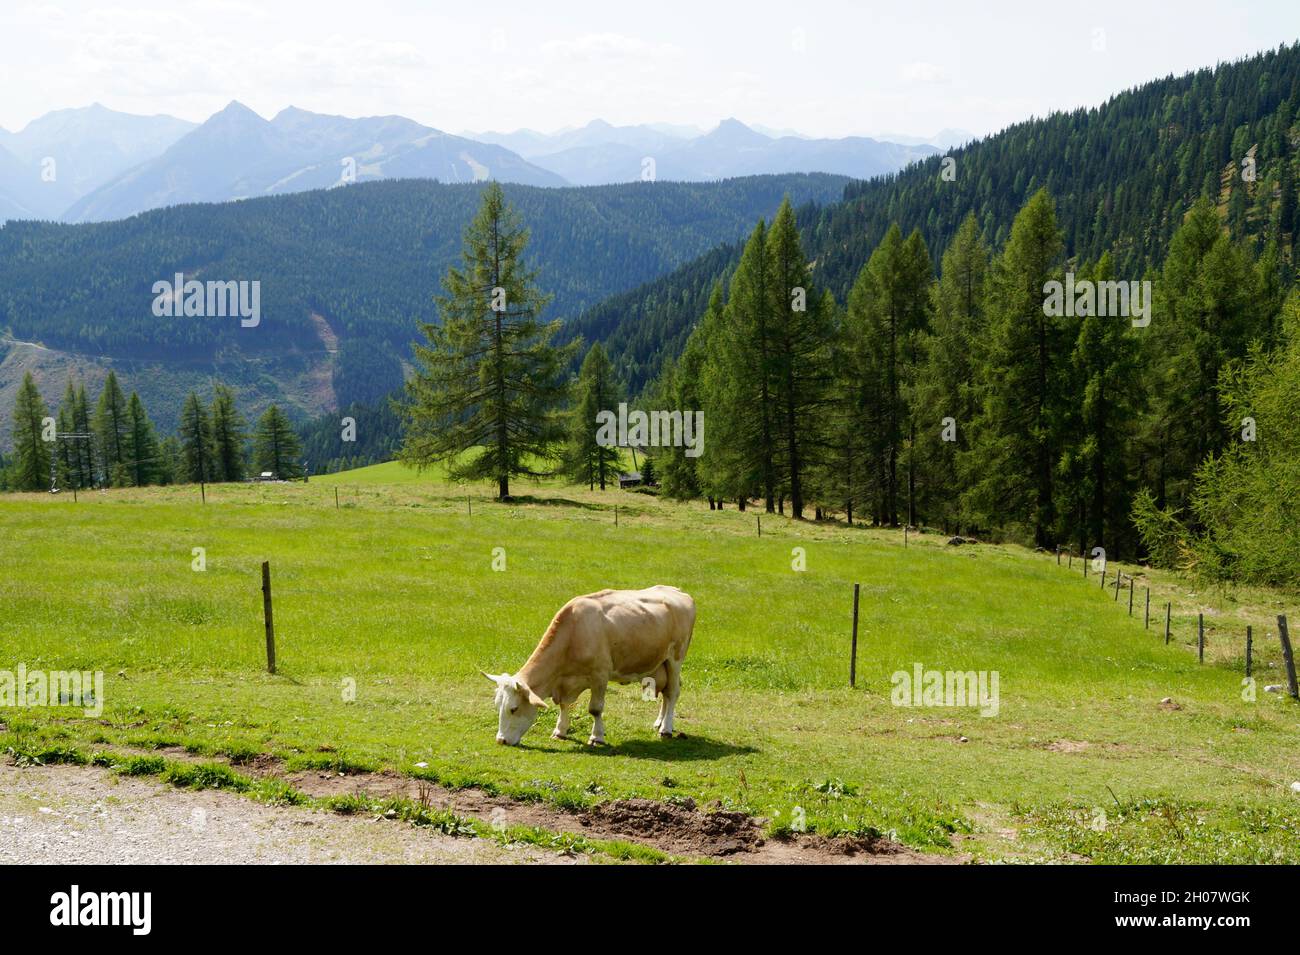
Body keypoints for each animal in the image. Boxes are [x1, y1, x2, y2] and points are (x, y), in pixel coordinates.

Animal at [482, 585, 695, 746]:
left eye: (514, 708)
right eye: (497, 705)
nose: (501, 740)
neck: (573, 634)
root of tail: (677, 591)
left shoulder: (600, 675)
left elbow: (595, 709)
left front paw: (596, 737)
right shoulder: (566, 682)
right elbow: (564, 704)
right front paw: (560, 730)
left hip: (675, 658)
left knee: (673, 692)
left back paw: (666, 728)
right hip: (660, 663)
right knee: (666, 692)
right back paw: (660, 722)